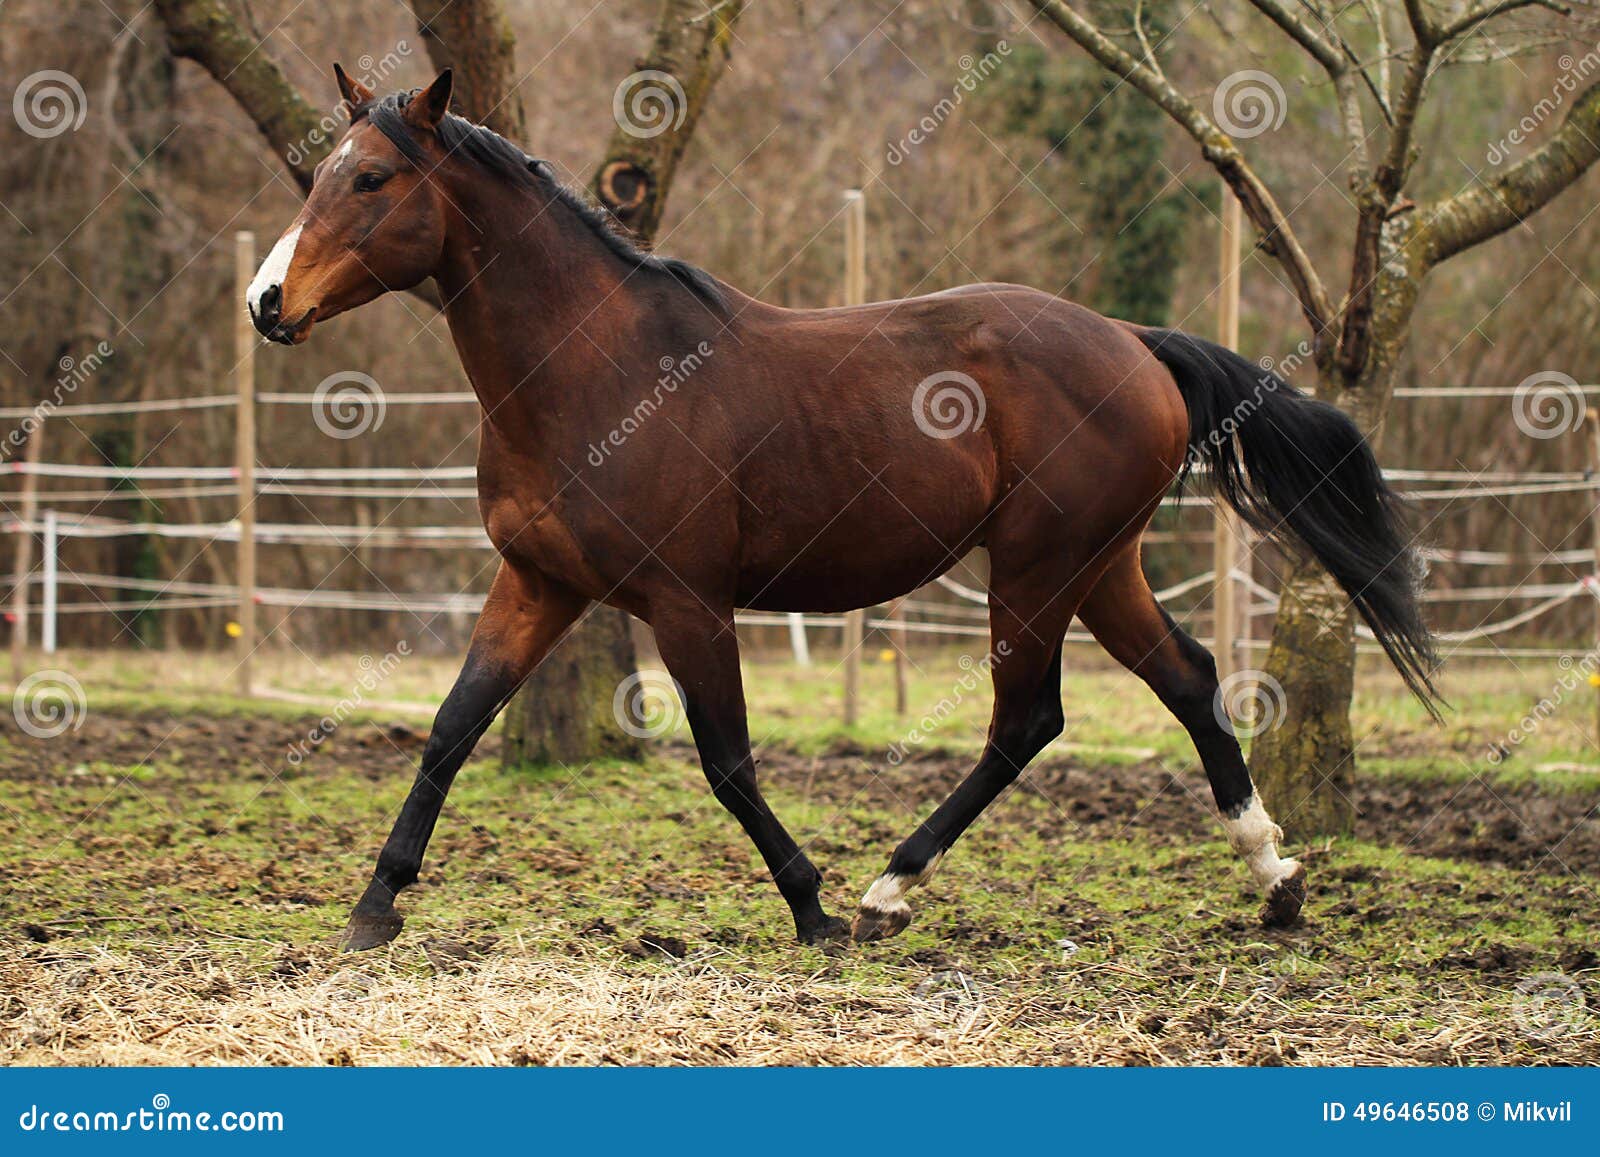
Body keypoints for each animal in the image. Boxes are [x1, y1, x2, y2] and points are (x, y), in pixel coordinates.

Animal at [247, 67, 1438, 951]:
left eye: (372, 177)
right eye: (319, 175)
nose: (266, 303)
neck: (598, 373)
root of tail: (1135, 343)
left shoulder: (687, 602)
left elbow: (726, 758)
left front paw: (810, 903)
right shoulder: (537, 582)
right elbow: (452, 726)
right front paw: (374, 905)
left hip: (1039, 567)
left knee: (1027, 720)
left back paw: (885, 891)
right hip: (1099, 565)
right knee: (1185, 680)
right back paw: (1275, 877)